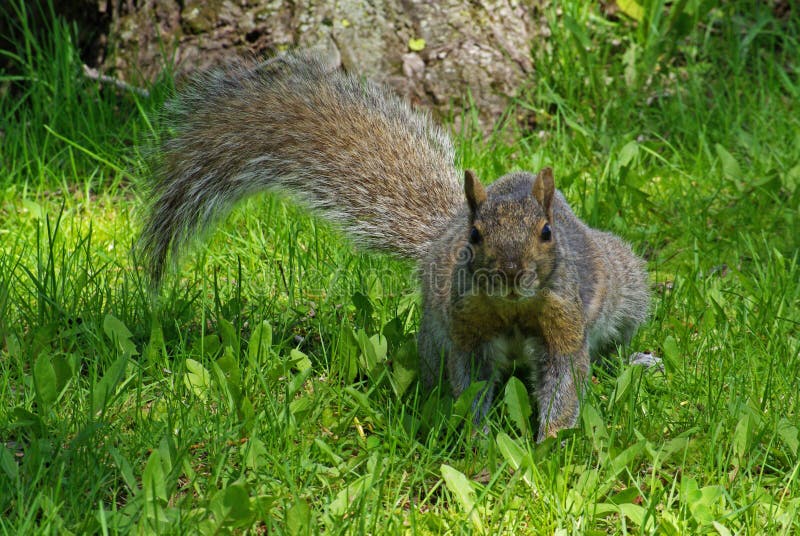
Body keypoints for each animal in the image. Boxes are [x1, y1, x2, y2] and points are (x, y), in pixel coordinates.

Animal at [139, 52, 650, 441]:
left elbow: (565, 382)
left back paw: (636, 358)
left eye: (546, 232)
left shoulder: (563, 322)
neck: (512, 310)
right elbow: (470, 384)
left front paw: (550, 444)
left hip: (626, 288)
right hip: (433, 332)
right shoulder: (466, 330)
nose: (508, 273)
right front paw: (481, 440)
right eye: (475, 236)